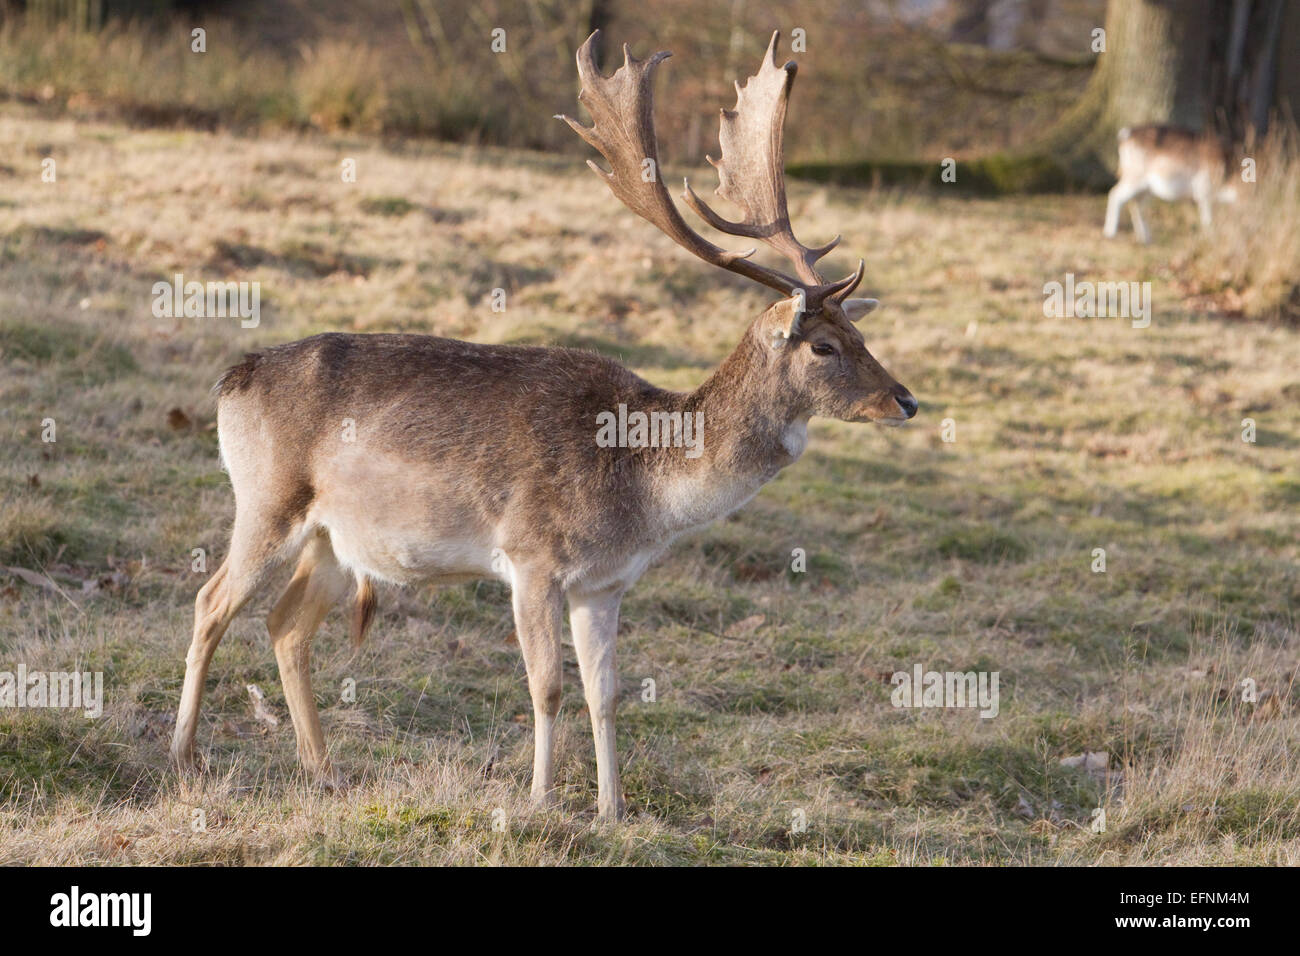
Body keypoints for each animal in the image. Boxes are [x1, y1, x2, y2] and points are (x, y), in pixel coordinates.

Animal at [169, 31, 916, 820]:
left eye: (861, 334)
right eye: (824, 346)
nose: (906, 401)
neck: (641, 491)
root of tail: (232, 379)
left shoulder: (605, 584)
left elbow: (606, 695)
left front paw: (613, 811)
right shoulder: (529, 558)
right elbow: (547, 685)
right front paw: (539, 800)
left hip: (337, 539)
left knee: (286, 624)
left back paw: (325, 771)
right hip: (267, 499)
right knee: (211, 601)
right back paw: (184, 755)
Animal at [1103, 124, 1239, 244]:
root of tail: (1125, 134)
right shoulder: (1205, 191)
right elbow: (1208, 220)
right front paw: (1211, 239)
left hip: (1146, 188)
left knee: (1137, 205)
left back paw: (1146, 239)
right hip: (1134, 176)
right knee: (1115, 194)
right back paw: (1110, 233)